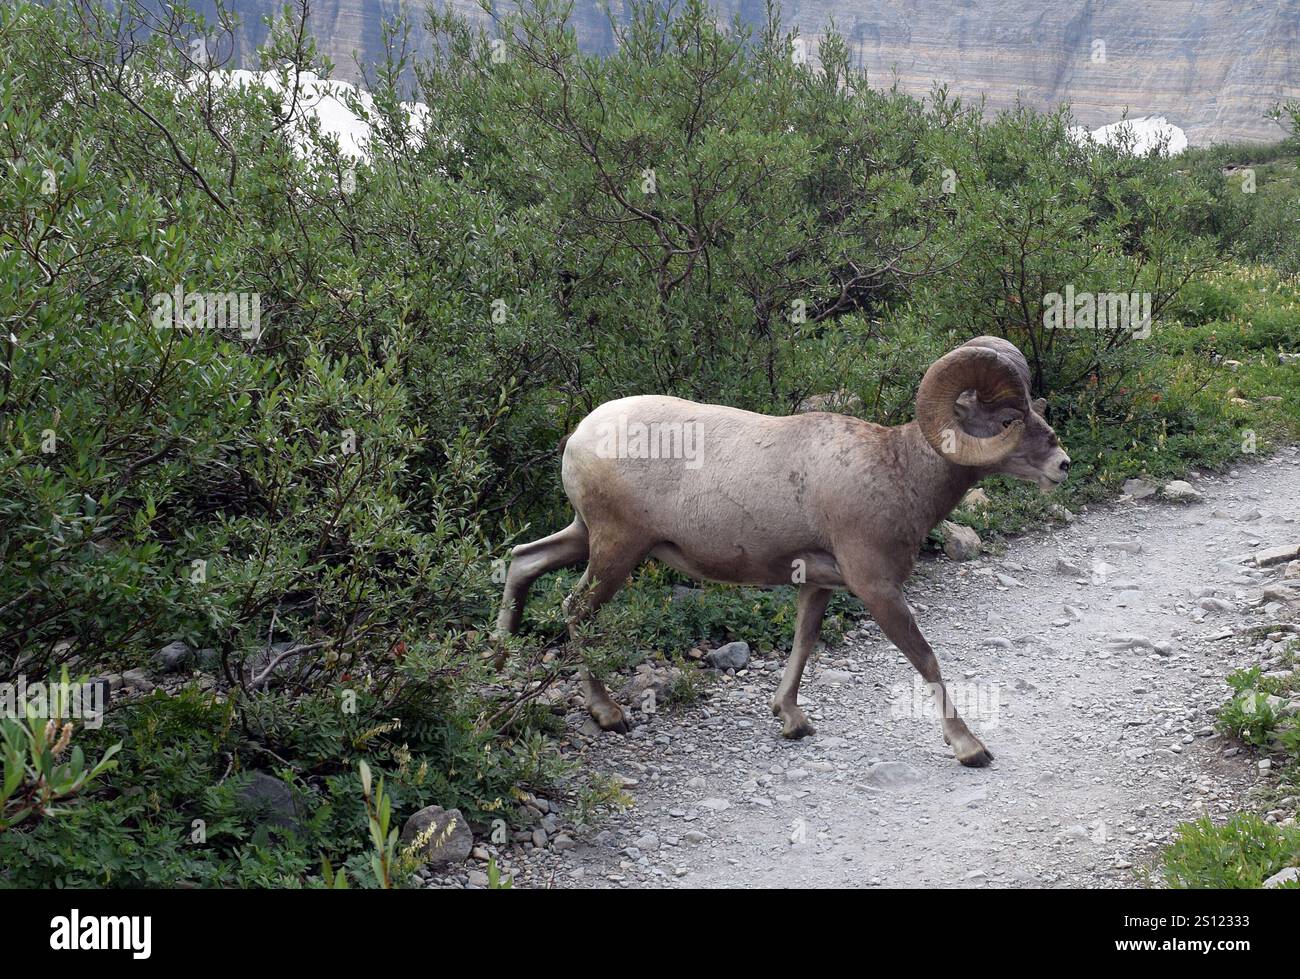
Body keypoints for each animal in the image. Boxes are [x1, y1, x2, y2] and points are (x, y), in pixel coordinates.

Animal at [494, 336, 1070, 766]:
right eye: (1007, 420)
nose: (1061, 465)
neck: (896, 471)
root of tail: (580, 437)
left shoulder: (817, 585)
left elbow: (803, 643)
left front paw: (791, 720)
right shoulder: (877, 588)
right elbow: (924, 657)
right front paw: (970, 748)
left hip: (586, 537)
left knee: (523, 560)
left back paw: (498, 653)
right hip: (616, 551)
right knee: (576, 611)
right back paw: (608, 714)